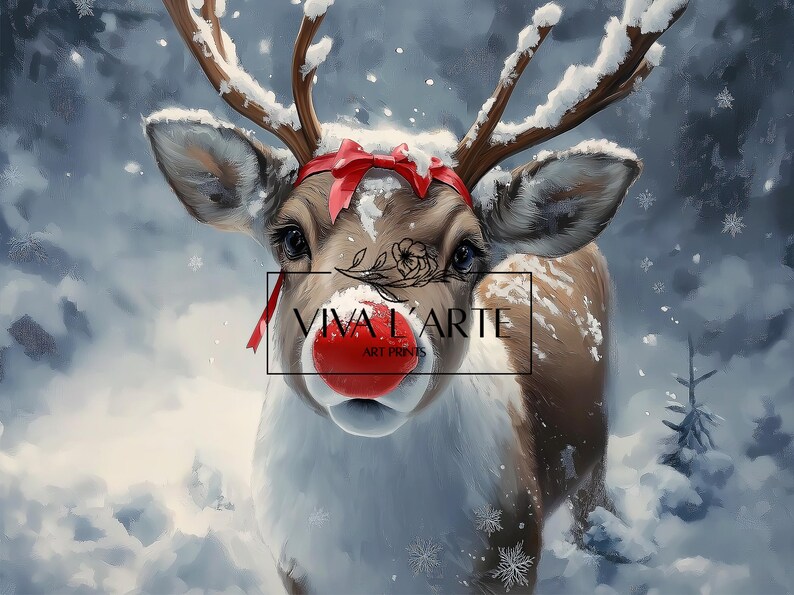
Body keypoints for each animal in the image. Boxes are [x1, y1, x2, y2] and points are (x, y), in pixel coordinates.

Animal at [144, 0, 687, 592]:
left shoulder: (515, 551)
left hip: (596, 434)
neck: (384, 560)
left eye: (467, 251)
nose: (364, 346)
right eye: (290, 236)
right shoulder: (294, 568)